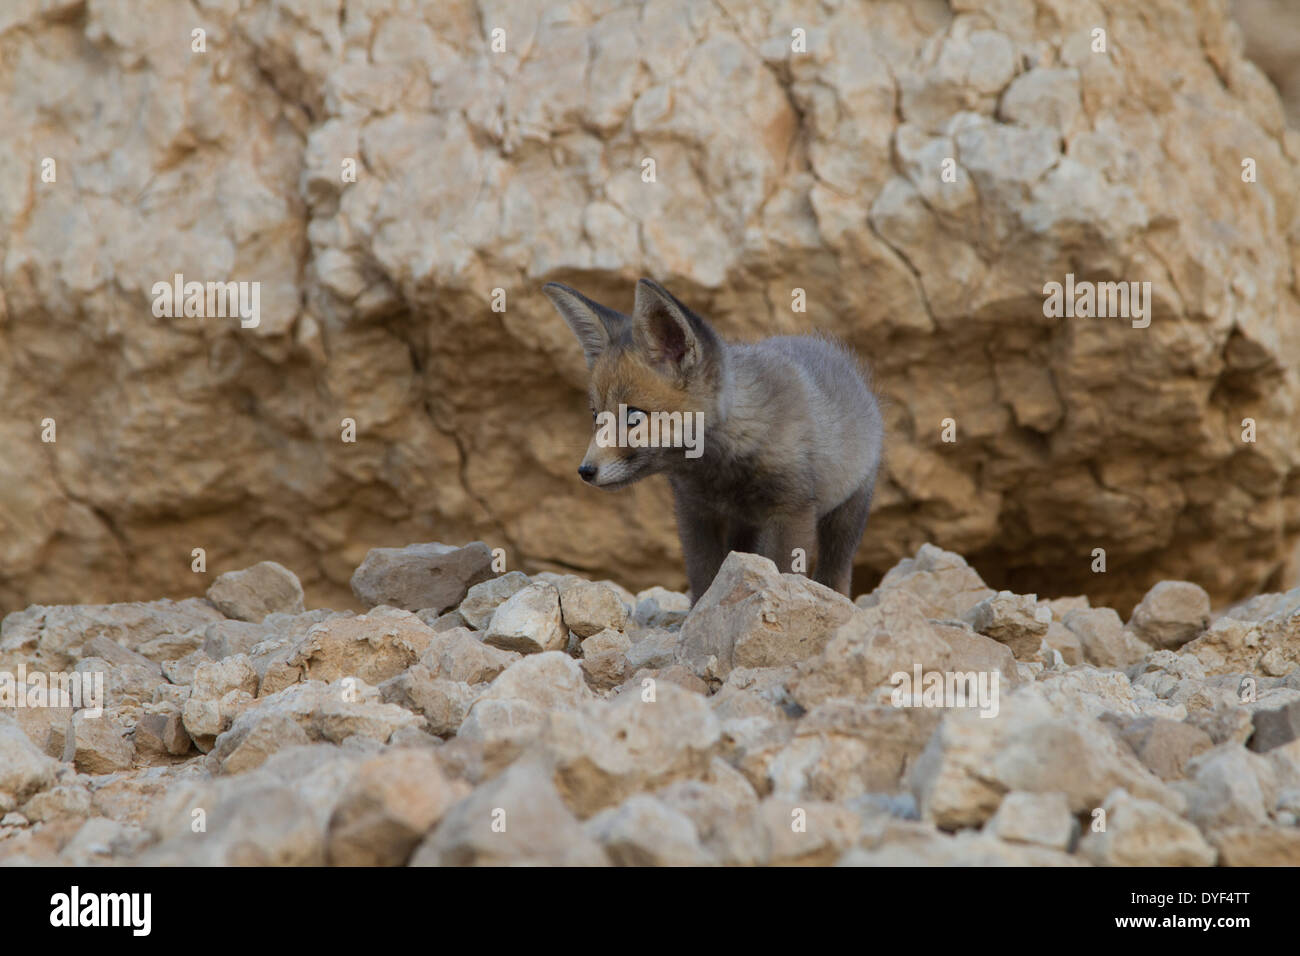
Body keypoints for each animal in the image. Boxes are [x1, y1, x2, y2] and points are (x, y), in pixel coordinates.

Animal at [542, 278, 884, 603]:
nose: (585, 471)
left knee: (836, 570)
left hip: (847, 512)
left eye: (635, 418)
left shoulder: (791, 509)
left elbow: (784, 569)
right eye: (595, 416)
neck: (720, 469)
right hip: (745, 529)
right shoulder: (695, 512)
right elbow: (704, 577)